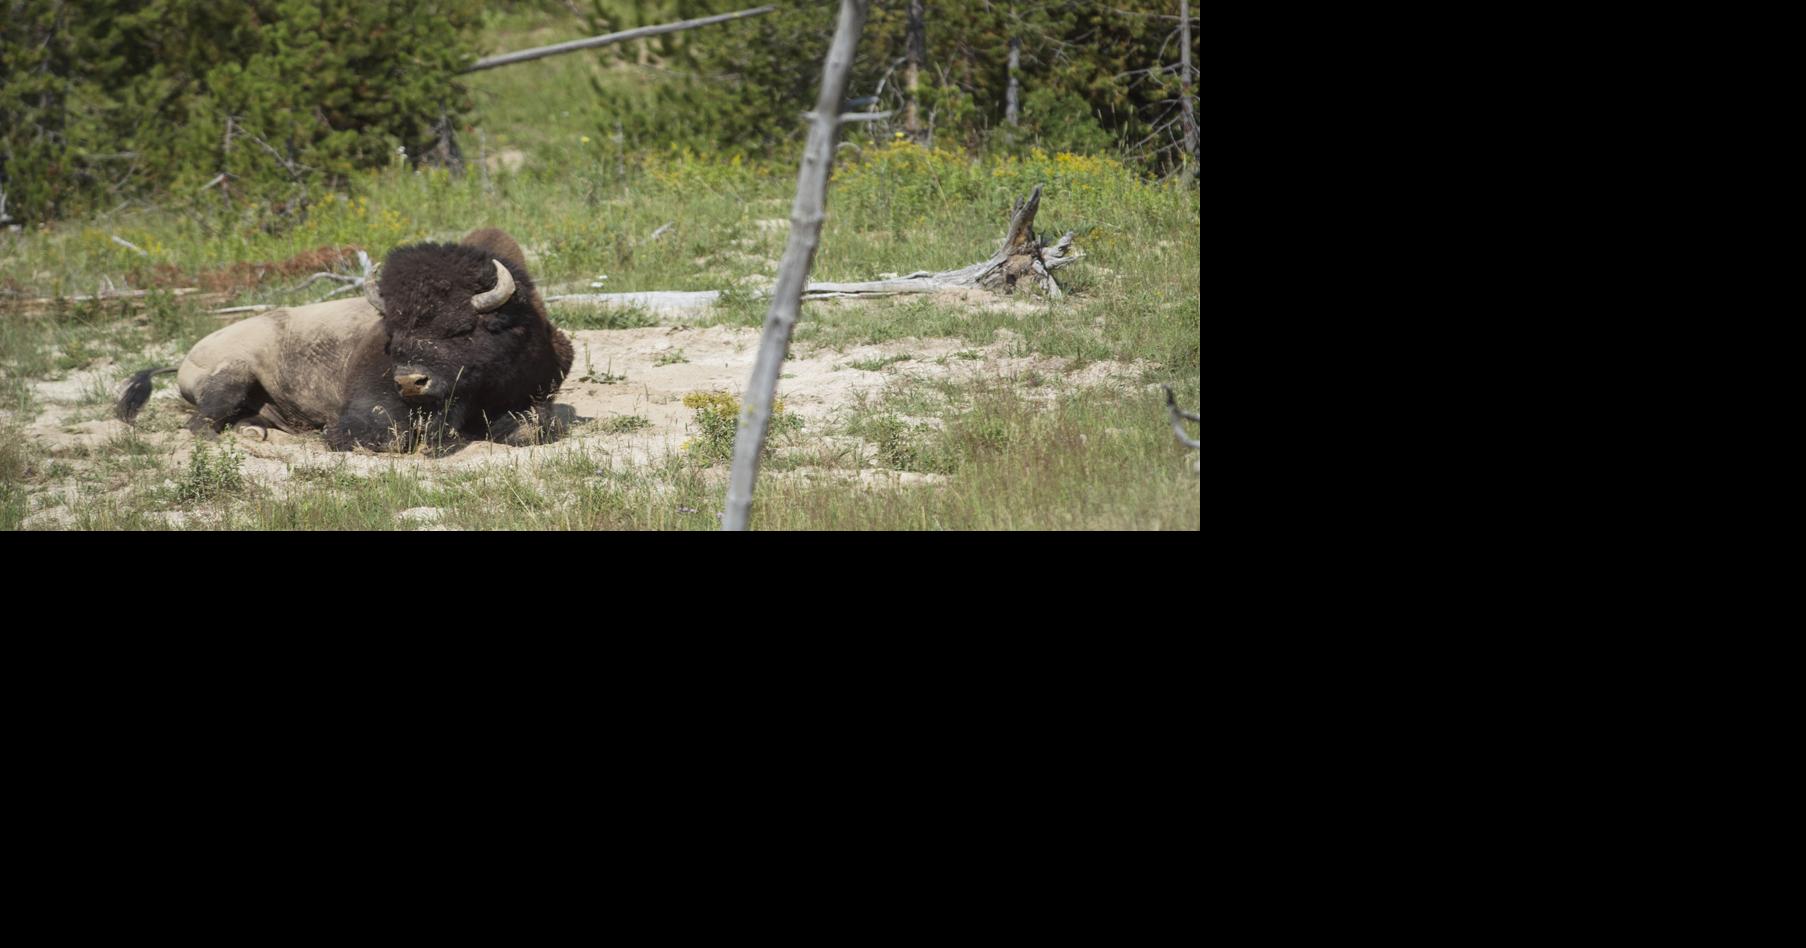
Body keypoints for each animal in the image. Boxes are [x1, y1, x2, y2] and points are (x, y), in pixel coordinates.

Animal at [116, 227, 573, 452]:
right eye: (393, 330)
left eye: (463, 328)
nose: (411, 381)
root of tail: (185, 356)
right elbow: (385, 433)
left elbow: (535, 424)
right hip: (232, 376)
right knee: (200, 422)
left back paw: (256, 435)